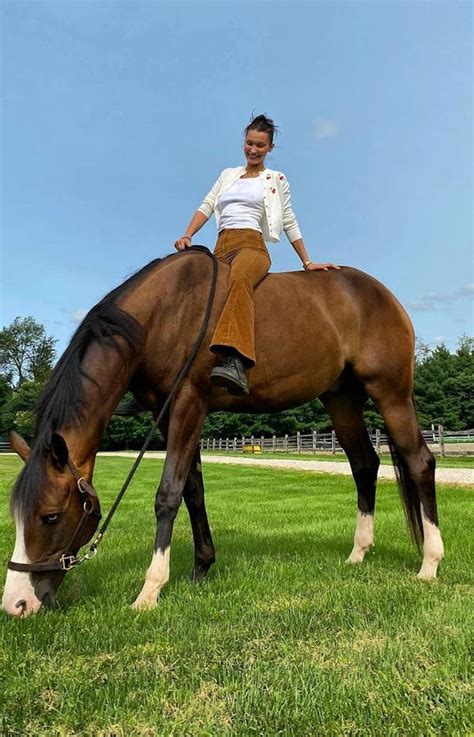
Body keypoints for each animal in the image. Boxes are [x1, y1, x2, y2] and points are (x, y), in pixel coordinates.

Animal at [2, 248, 444, 617]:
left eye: (50, 516)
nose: (16, 604)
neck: (162, 314)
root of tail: (381, 293)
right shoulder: (170, 414)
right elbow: (193, 490)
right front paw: (201, 568)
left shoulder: (187, 404)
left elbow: (168, 495)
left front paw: (150, 590)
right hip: (342, 399)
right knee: (364, 465)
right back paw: (358, 554)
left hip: (390, 393)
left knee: (420, 461)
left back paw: (430, 563)